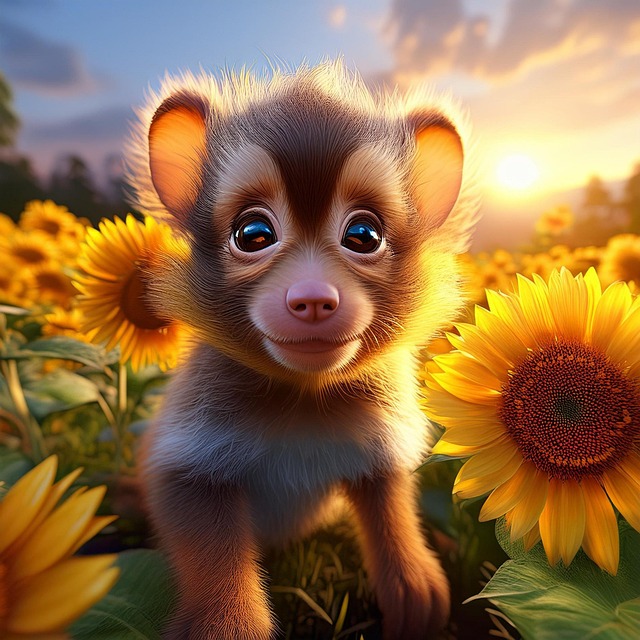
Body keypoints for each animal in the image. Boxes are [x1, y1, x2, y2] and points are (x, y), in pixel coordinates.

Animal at [128, 60, 478, 640]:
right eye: (252, 233)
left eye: (363, 235)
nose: (312, 297)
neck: (303, 396)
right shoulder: (191, 442)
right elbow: (203, 531)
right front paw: (227, 622)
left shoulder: (379, 431)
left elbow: (387, 499)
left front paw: (414, 585)